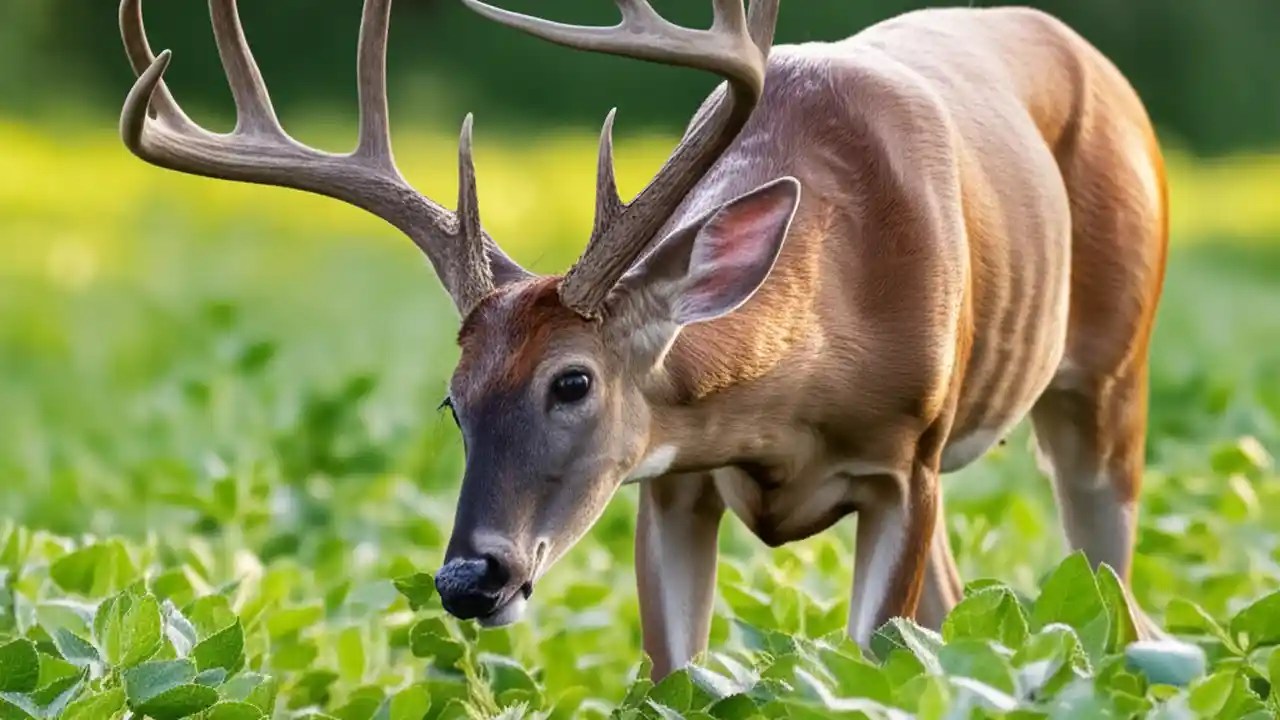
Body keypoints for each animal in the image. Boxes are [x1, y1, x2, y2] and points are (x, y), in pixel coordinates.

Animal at [118, 0, 1169, 681]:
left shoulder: (907, 459)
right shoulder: (670, 485)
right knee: (961, 614)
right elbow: (676, 679)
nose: (468, 578)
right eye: (452, 400)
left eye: (572, 382)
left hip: (1110, 379)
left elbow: (874, 661)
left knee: (1116, 599)